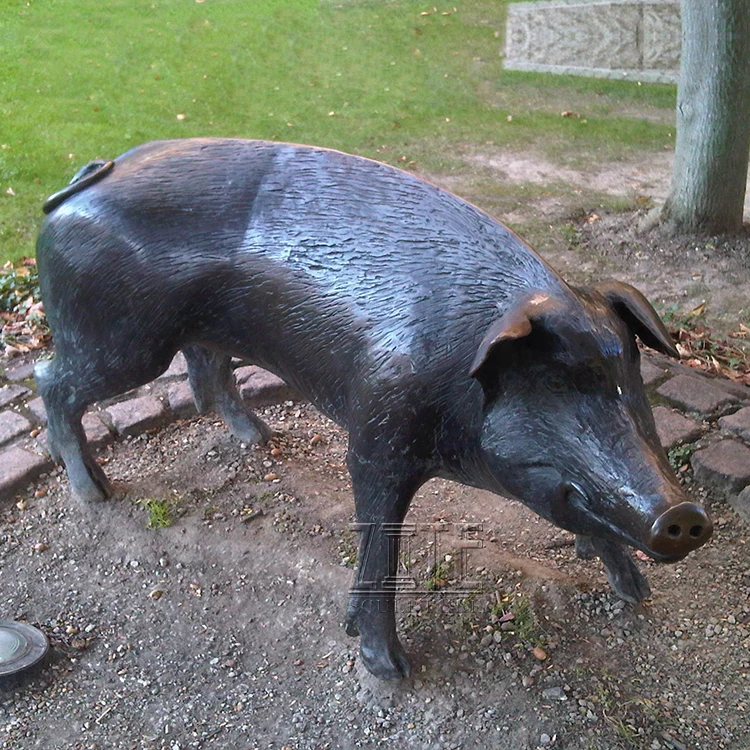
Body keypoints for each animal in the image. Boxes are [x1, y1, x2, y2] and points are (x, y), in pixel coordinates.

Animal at [35, 139, 712, 680]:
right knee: (52, 378)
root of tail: (86, 178)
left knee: (205, 368)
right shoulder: (376, 433)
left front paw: (636, 596)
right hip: (122, 339)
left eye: (630, 379)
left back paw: (261, 440)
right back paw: (95, 493)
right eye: (557, 384)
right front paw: (390, 670)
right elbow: (379, 548)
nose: (684, 515)